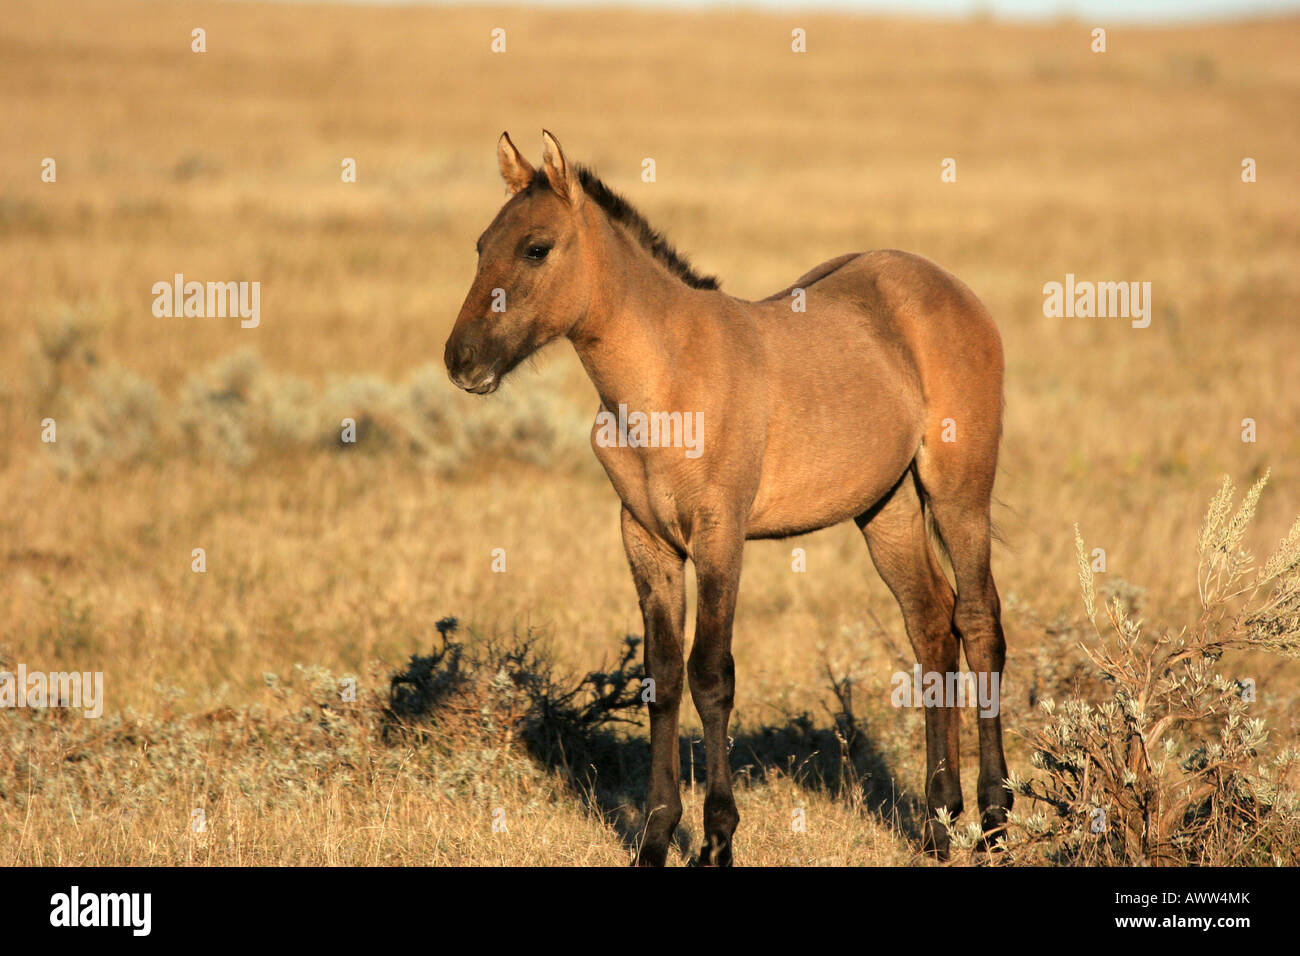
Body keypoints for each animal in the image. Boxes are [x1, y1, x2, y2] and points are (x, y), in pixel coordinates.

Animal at [444, 131, 1010, 866]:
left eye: (536, 247)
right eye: (482, 245)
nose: (462, 361)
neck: (667, 379)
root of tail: (954, 290)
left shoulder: (719, 535)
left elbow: (712, 675)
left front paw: (717, 839)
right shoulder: (645, 540)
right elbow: (661, 676)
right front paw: (655, 838)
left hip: (958, 492)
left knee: (978, 622)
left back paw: (995, 820)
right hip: (883, 508)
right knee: (931, 625)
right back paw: (940, 820)